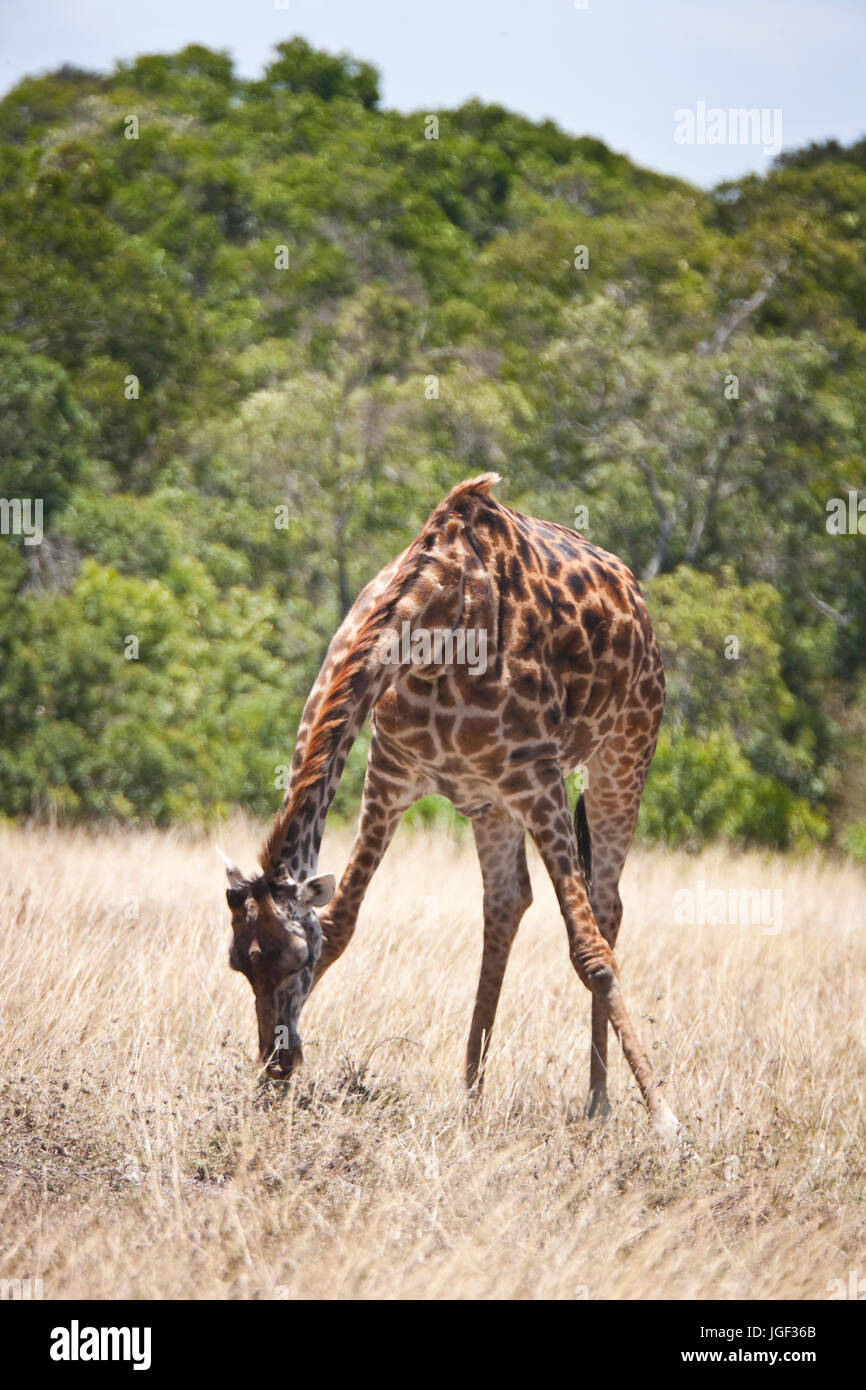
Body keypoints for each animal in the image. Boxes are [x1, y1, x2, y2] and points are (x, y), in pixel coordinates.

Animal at [221, 474, 679, 1137]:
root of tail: (634, 593)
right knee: (508, 901)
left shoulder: (537, 776)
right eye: (240, 964)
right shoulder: (391, 775)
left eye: (295, 959)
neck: (436, 629)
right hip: (489, 802)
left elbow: (589, 952)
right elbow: (343, 922)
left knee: (606, 908)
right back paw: (471, 1097)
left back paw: (597, 1100)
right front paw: (263, 1103)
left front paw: (668, 1120)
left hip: (624, 754)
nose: (278, 1062)